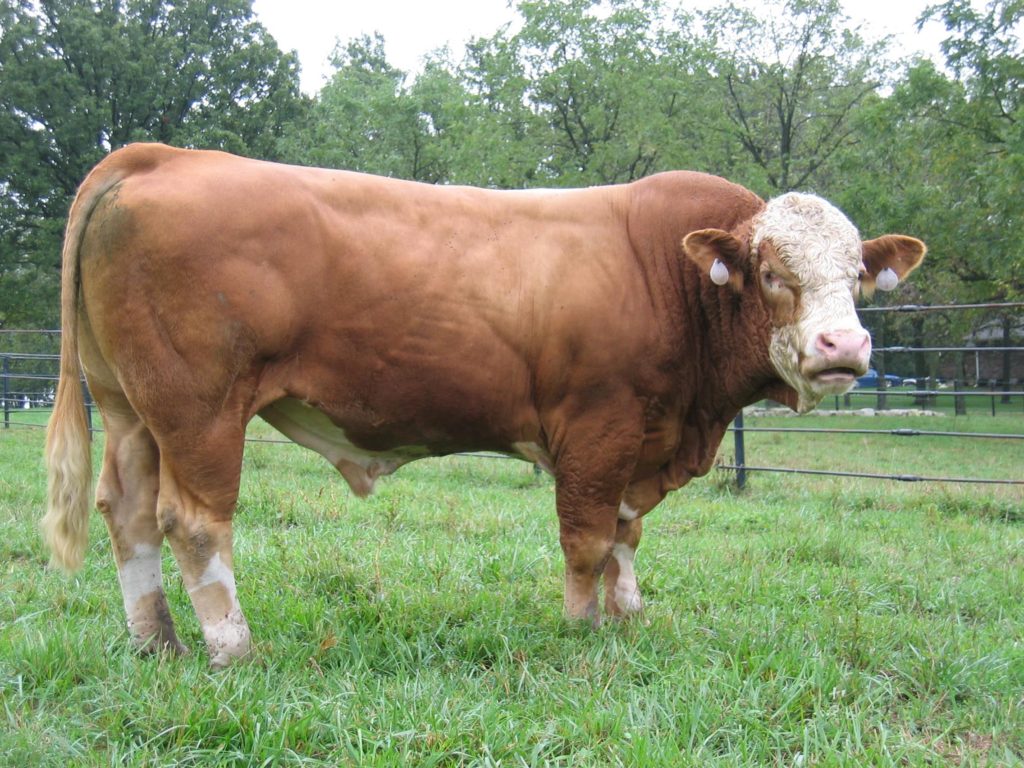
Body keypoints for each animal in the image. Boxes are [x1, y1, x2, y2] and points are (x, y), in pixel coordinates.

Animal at [43, 143, 925, 666]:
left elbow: (626, 538)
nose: (844, 348)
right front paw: (580, 630)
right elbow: (588, 538)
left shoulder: (642, 437)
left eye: (857, 273)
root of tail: (161, 157)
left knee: (127, 512)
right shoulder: (598, 427)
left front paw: (629, 618)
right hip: (200, 410)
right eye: (773, 272)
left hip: (129, 407)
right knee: (194, 523)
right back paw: (233, 649)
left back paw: (156, 642)